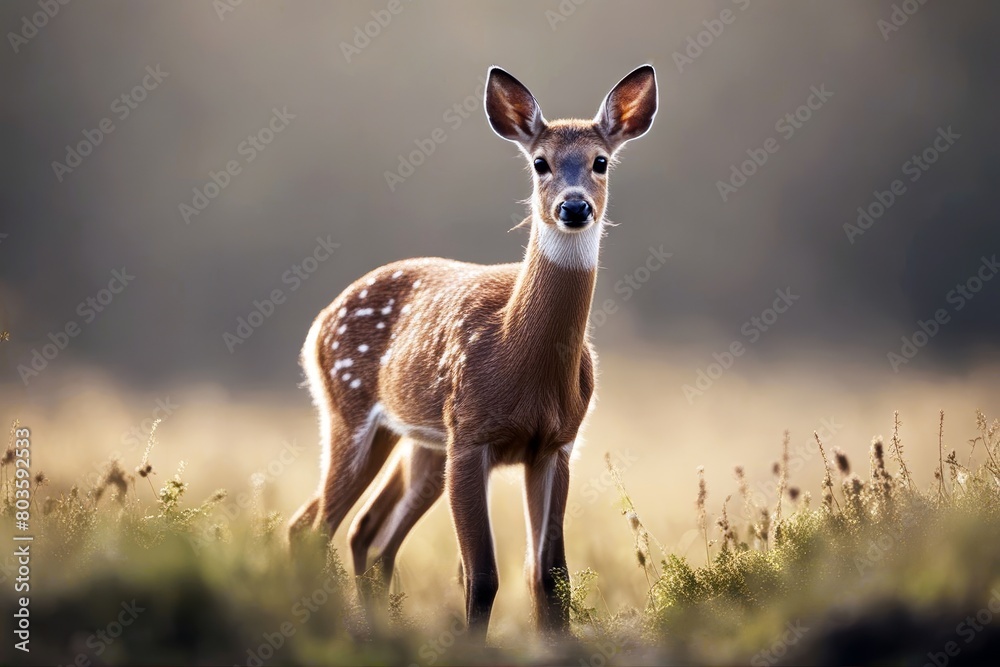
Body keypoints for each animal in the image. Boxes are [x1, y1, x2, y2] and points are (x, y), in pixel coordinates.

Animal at [288, 64, 658, 636]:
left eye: (601, 161)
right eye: (539, 163)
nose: (574, 206)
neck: (516, 354)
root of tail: (317, 327)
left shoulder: (556, 445)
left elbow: (549, 577)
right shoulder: (470, 433)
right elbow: (481, 577)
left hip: (416, 443)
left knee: (364, 533)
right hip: (350, 413)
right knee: (313, 528)